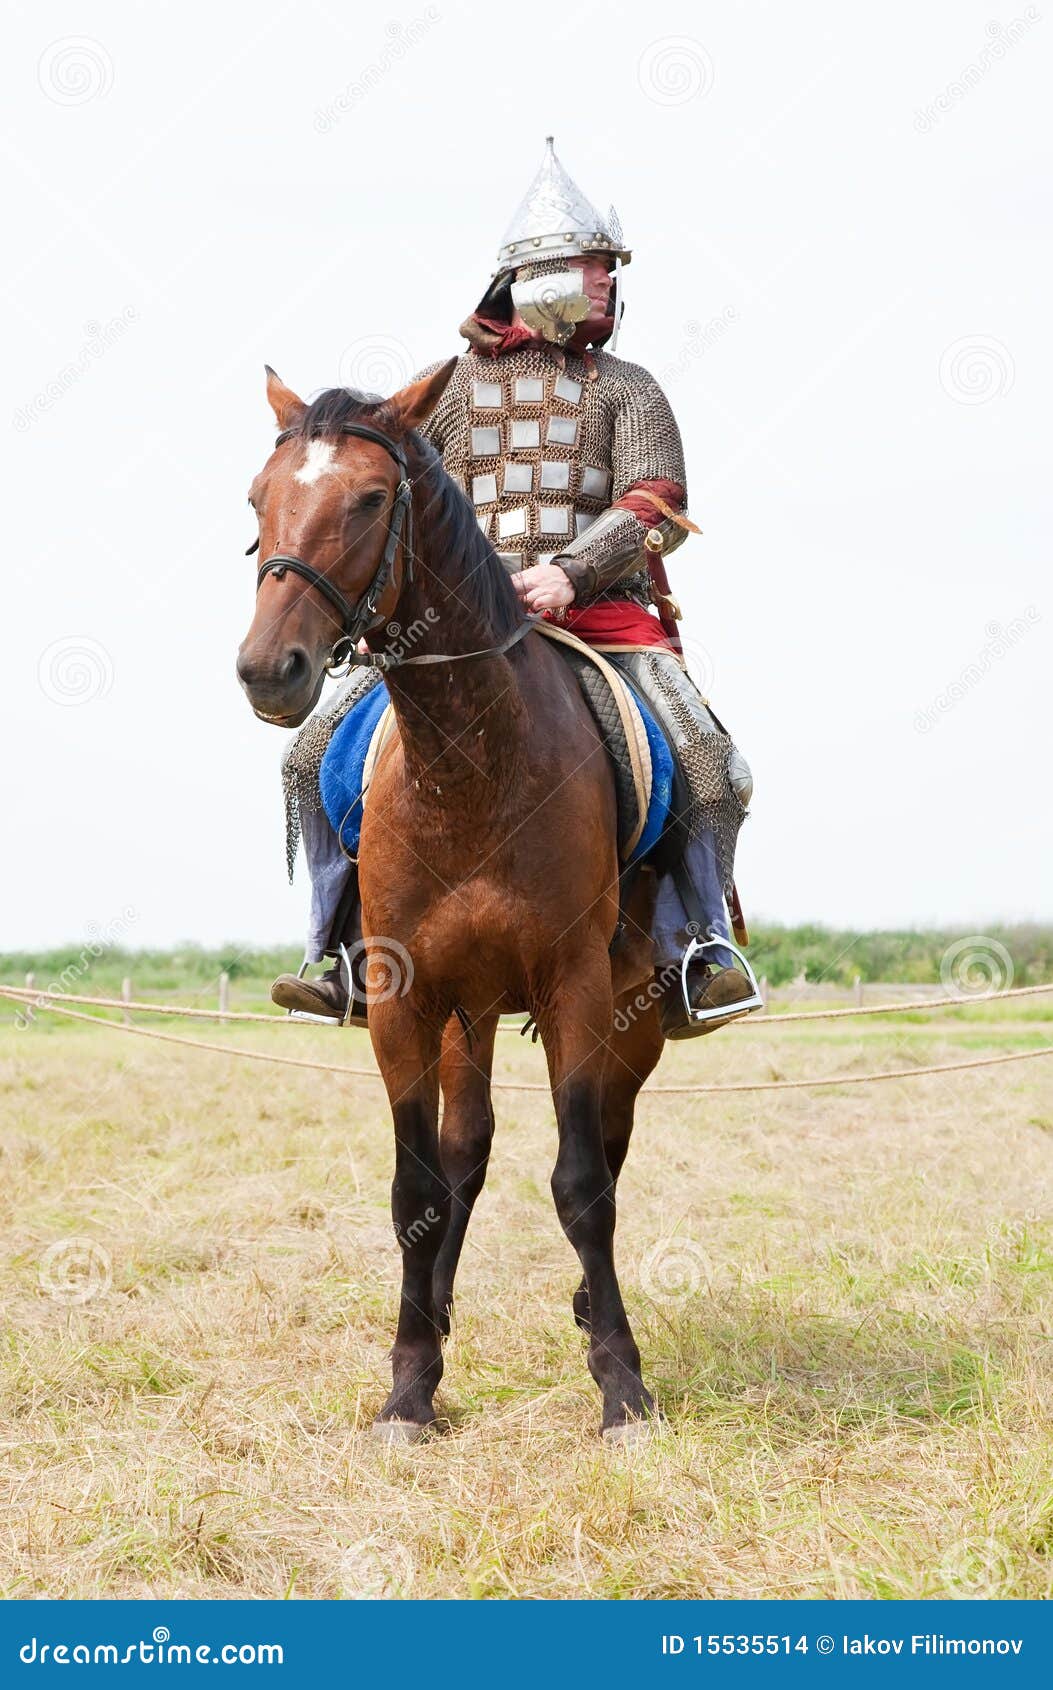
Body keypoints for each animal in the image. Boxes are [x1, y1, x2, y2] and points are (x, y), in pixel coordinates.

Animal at [236, 362, 667, 1442]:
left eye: (369, 499)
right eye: (259, 501)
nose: (269, 669)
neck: (472, 760)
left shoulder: (575, 988)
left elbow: (581, 1183)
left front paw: (621, 1384)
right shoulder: (406, 1000)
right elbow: (417, 1185)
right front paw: (409, 1384)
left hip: (629, 1014)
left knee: (606, 1141)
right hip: (468, 1012)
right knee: (466, 1154)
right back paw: (435, 1310)